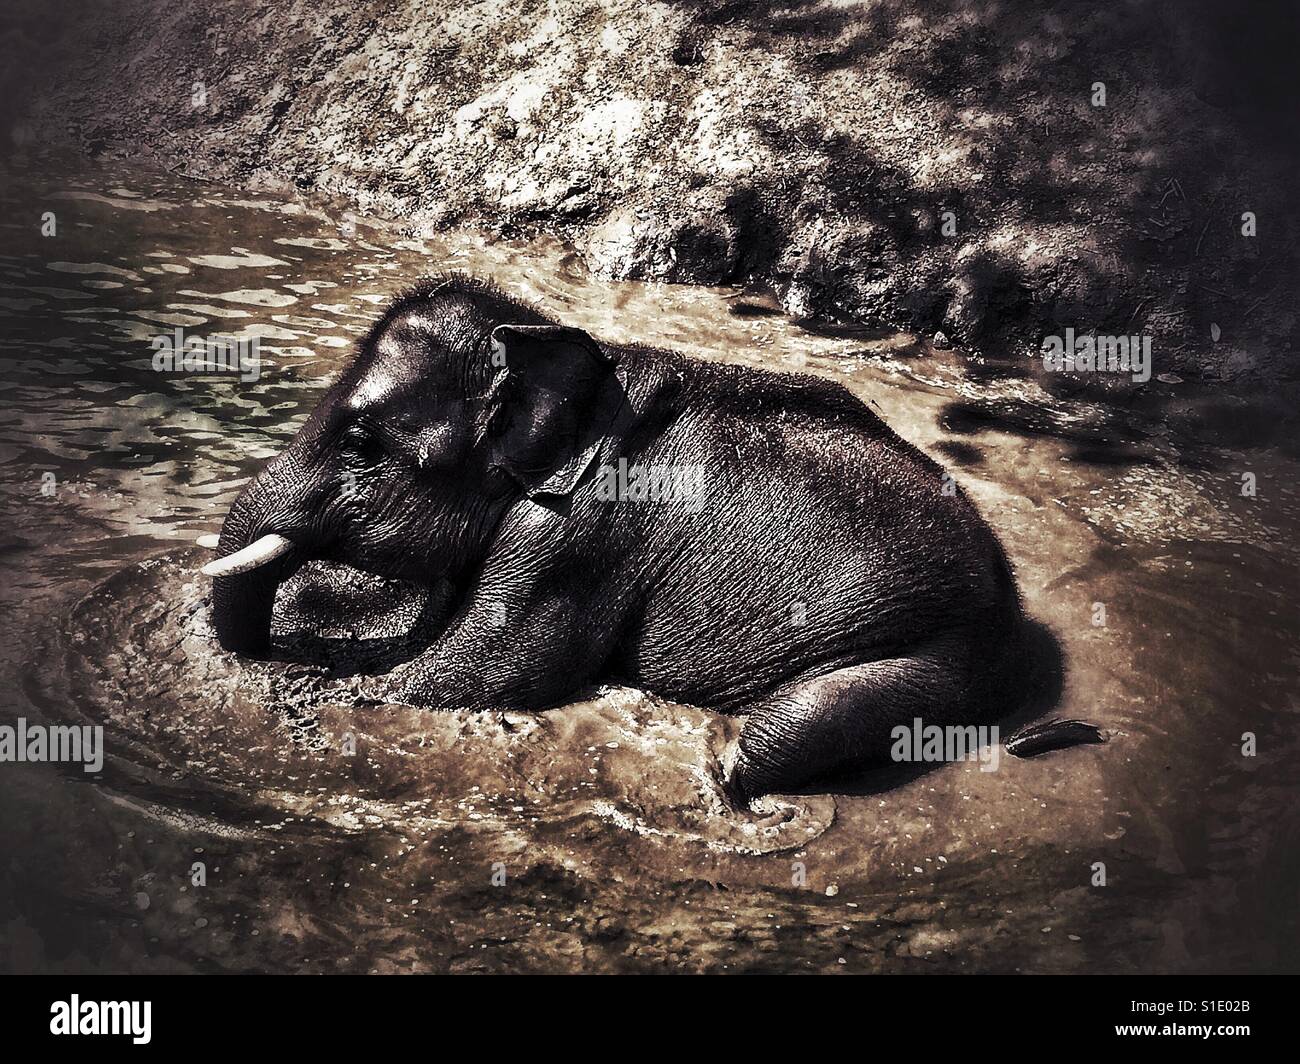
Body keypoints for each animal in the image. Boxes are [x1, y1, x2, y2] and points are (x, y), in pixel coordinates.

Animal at [204, 274, 1029, 804]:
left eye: (362, 444)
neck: (564, 348)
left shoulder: (577, 531)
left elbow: (492, 670)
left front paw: (315, 691)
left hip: (943, 653)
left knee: (779, 734)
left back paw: (730, 782)